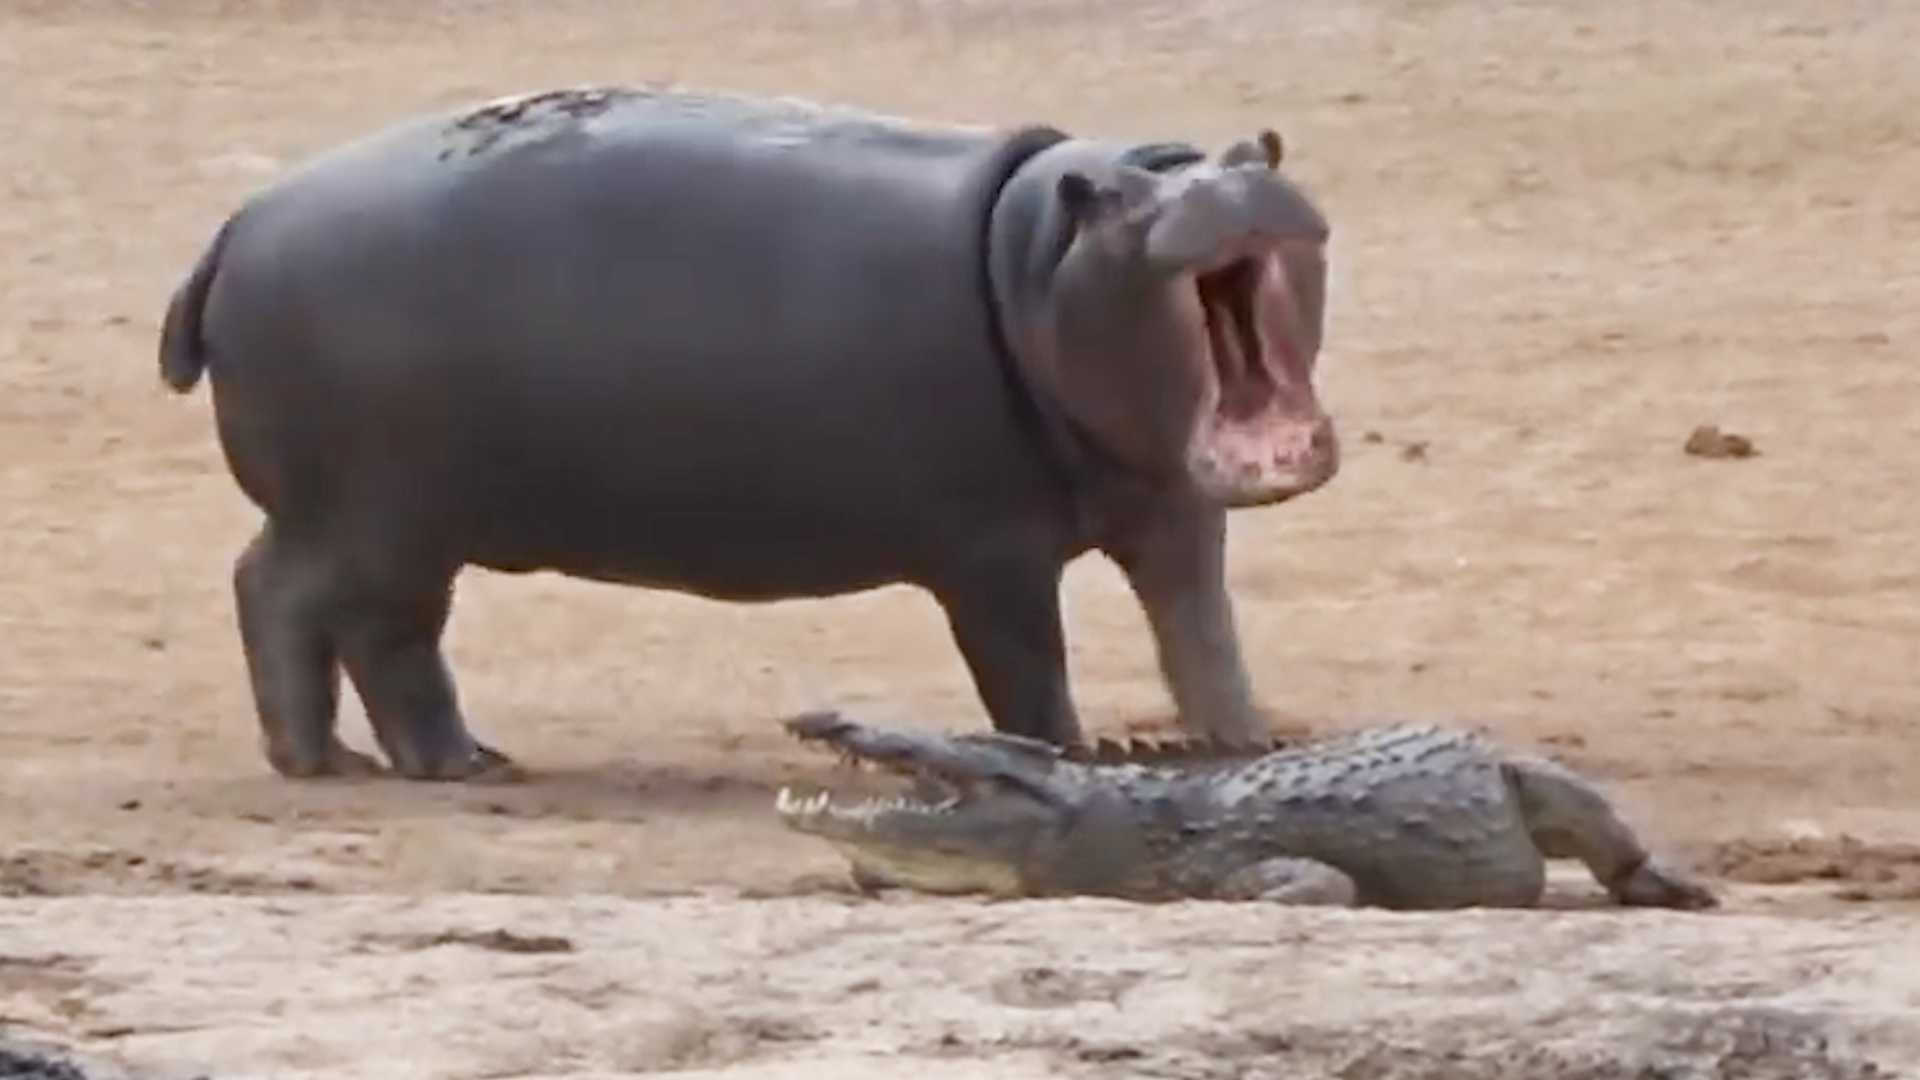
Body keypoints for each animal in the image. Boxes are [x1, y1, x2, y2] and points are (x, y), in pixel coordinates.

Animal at [156, 85, 1339, 782]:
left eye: (1255, 148)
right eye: (1116, 202)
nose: (1234, 183)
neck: (1039, 252)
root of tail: (236, 226)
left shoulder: (1174, 506)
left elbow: (1204, 639)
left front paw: (1250, 747)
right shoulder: (989, 554)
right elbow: (1028, 674)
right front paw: (1066, 760)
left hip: (373, 520)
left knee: (308, 603)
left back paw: (369, 759)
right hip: (381, 519)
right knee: (330, 612)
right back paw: (423, 766)